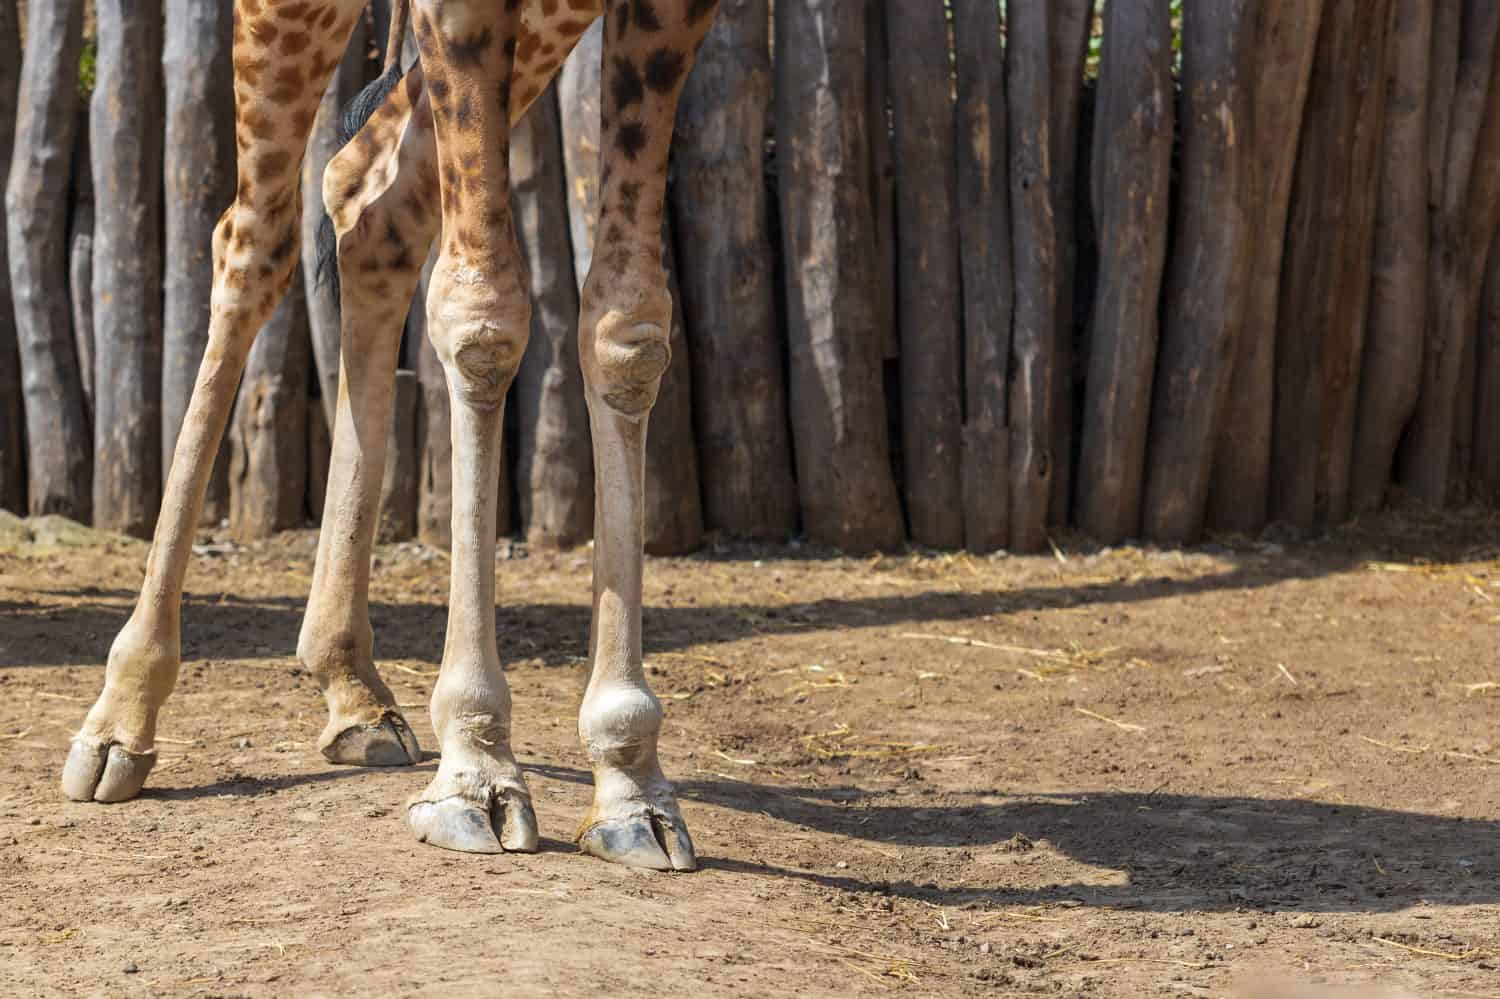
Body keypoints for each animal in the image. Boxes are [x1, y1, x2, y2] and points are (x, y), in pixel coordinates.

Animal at [58, 0, 718, 872]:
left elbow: (628, 327)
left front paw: (634, 788)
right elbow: (482, 311)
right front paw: (476, 773)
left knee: (370, 196)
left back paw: (352, 689)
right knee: (252, 238)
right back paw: (120, 718)